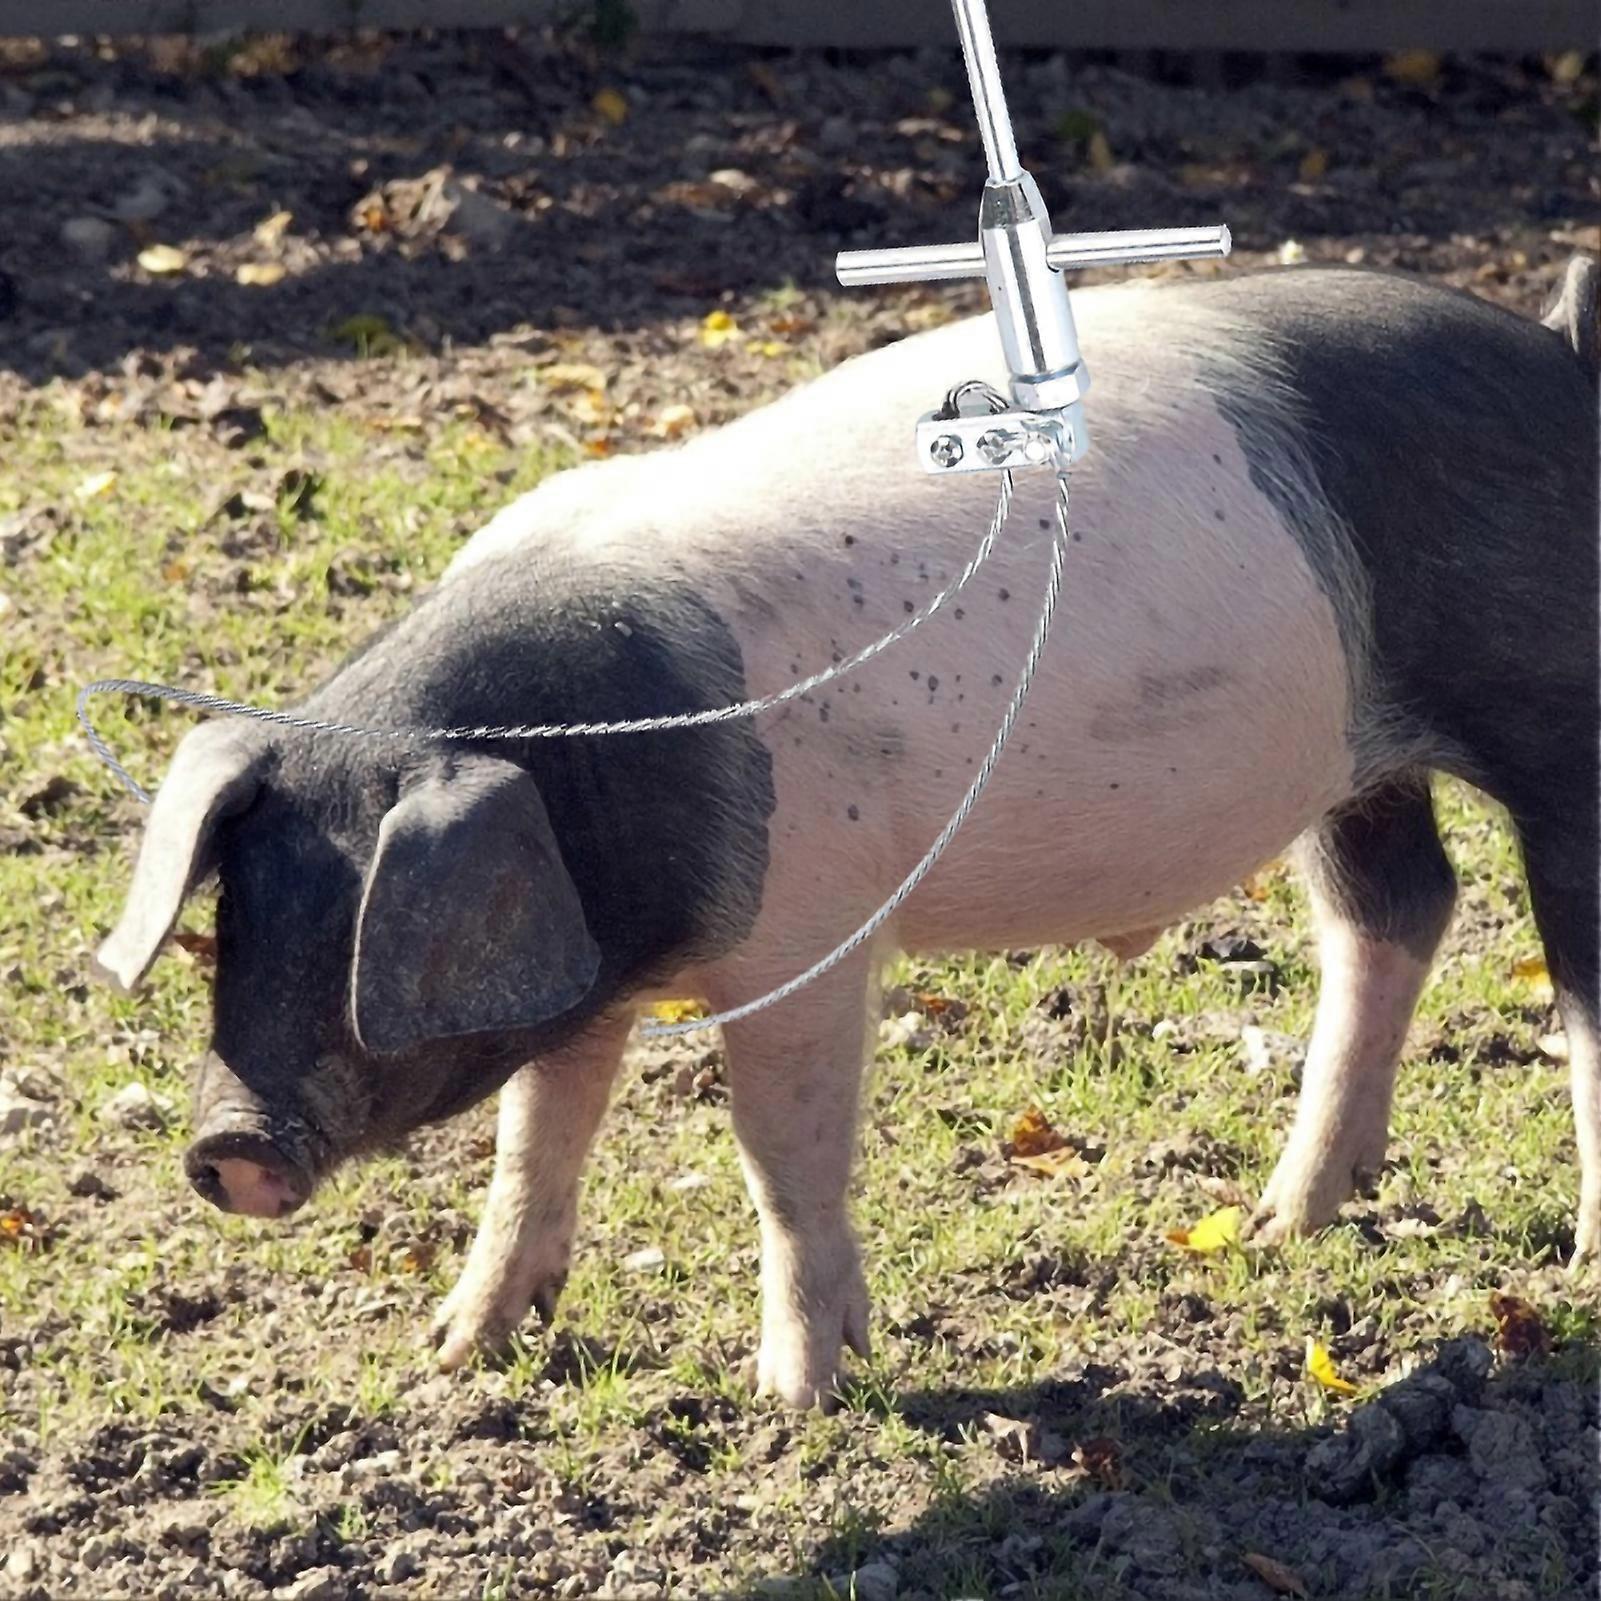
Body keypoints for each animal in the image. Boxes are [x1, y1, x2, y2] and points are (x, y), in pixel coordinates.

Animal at [95, 260, 1598, 1407]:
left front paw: (794, 1398)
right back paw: (1287, 1223)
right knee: (1394, 908)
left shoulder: (803, 936)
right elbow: (537, 1135)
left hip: (1556, 722)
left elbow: (779, 1154)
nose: (224, 1148)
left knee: (1563, 980)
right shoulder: (585, 970)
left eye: (366, 939)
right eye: (238, 916)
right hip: (1350, 761)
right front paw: (457, 1352)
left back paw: (1574, 1266)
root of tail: (1563, 358)